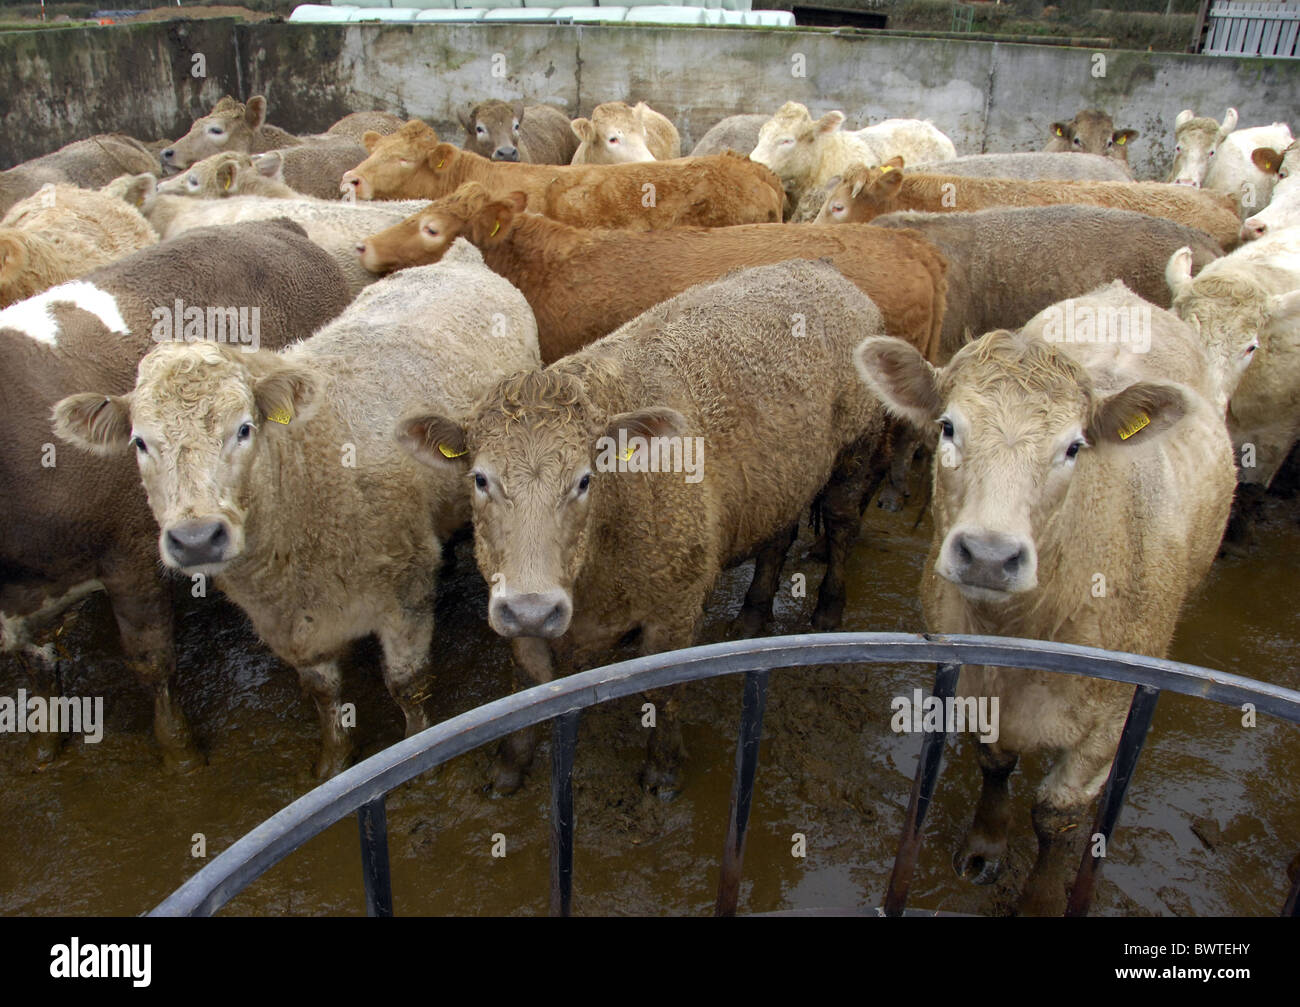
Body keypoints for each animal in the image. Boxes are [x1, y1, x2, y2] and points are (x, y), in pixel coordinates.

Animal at [0, 219, 351, 770]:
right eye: (138, 441)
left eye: (243, 429)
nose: (197, 539)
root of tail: (271, 225)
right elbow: (31, 661)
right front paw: (44, 740)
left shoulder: (128, 555)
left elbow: (151, 660)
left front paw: (177, 750)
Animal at [52, 250, 540, 778]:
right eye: (139, 442)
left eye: (244, 428)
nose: (197, 538)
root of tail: (458, 260)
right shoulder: (291, 623)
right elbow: (323, 694)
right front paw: (334, 759)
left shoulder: (403, 597)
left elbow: (406, 684)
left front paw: (418, 754)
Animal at [397, 259, 896, 793]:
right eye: (480, 478)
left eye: (585, 480)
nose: (534, 608)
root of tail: (821, 267)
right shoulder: (512, 609)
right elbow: (527, 686)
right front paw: (510, 764)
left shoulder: (675, 610)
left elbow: (664, 692)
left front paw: (662, 768)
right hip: (781, 481)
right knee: (777, 540)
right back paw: (752, 614)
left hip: (855, 453)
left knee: (842, 526)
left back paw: (827, 609)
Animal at [854, 284, 1235, 914]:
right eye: (949, 427)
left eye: (1074, 447)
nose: (988, 554)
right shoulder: (975, 684)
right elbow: (995, 762)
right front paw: (984, 848)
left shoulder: (1109, 724)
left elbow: (1058, 818)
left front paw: (1040, 898)